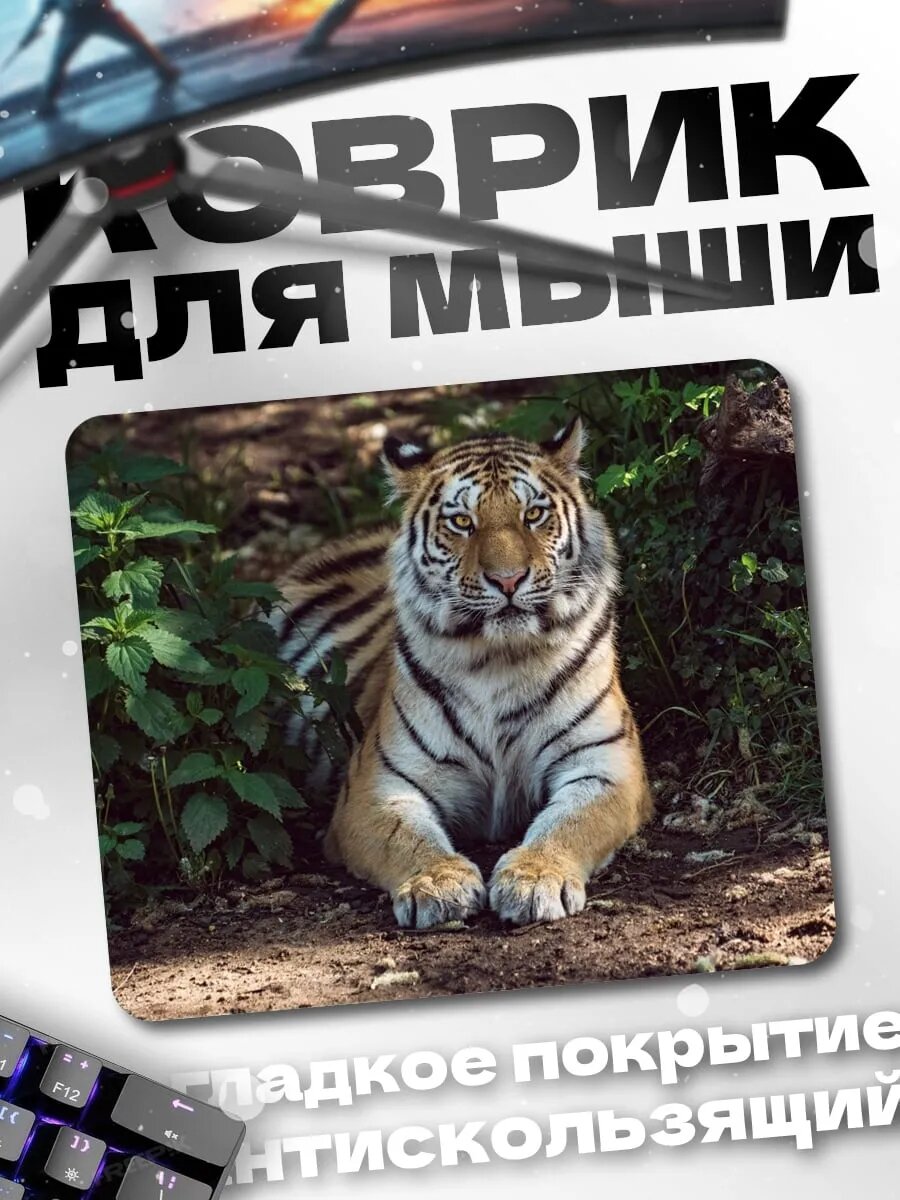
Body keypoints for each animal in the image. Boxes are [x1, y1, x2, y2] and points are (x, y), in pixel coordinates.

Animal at [268, 417, 653, 928]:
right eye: (463, 522)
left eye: (533, 514)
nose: (508, 580)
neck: (500, 659)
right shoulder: (378, 784)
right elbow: (404, 837)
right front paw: (438, 883)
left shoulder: (605, 765)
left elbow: (571, 824)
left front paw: (534, 879)